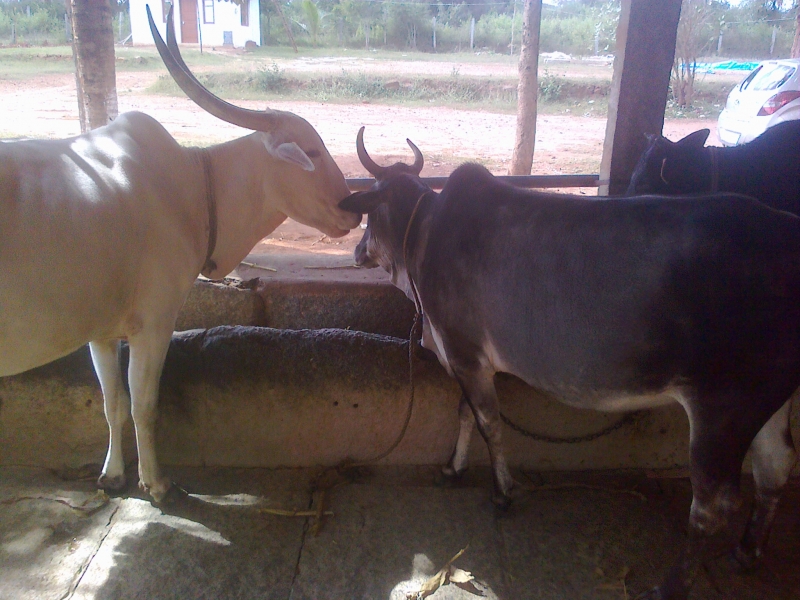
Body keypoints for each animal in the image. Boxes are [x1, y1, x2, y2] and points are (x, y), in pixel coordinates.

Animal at [0, 7, 360, 503]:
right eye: (311, 151)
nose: (352, 210)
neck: (190, 182)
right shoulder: (153, 324)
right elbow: (143, 405)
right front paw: (155, 482)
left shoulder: (101, 332)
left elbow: (112, 403)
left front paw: (112, 475)